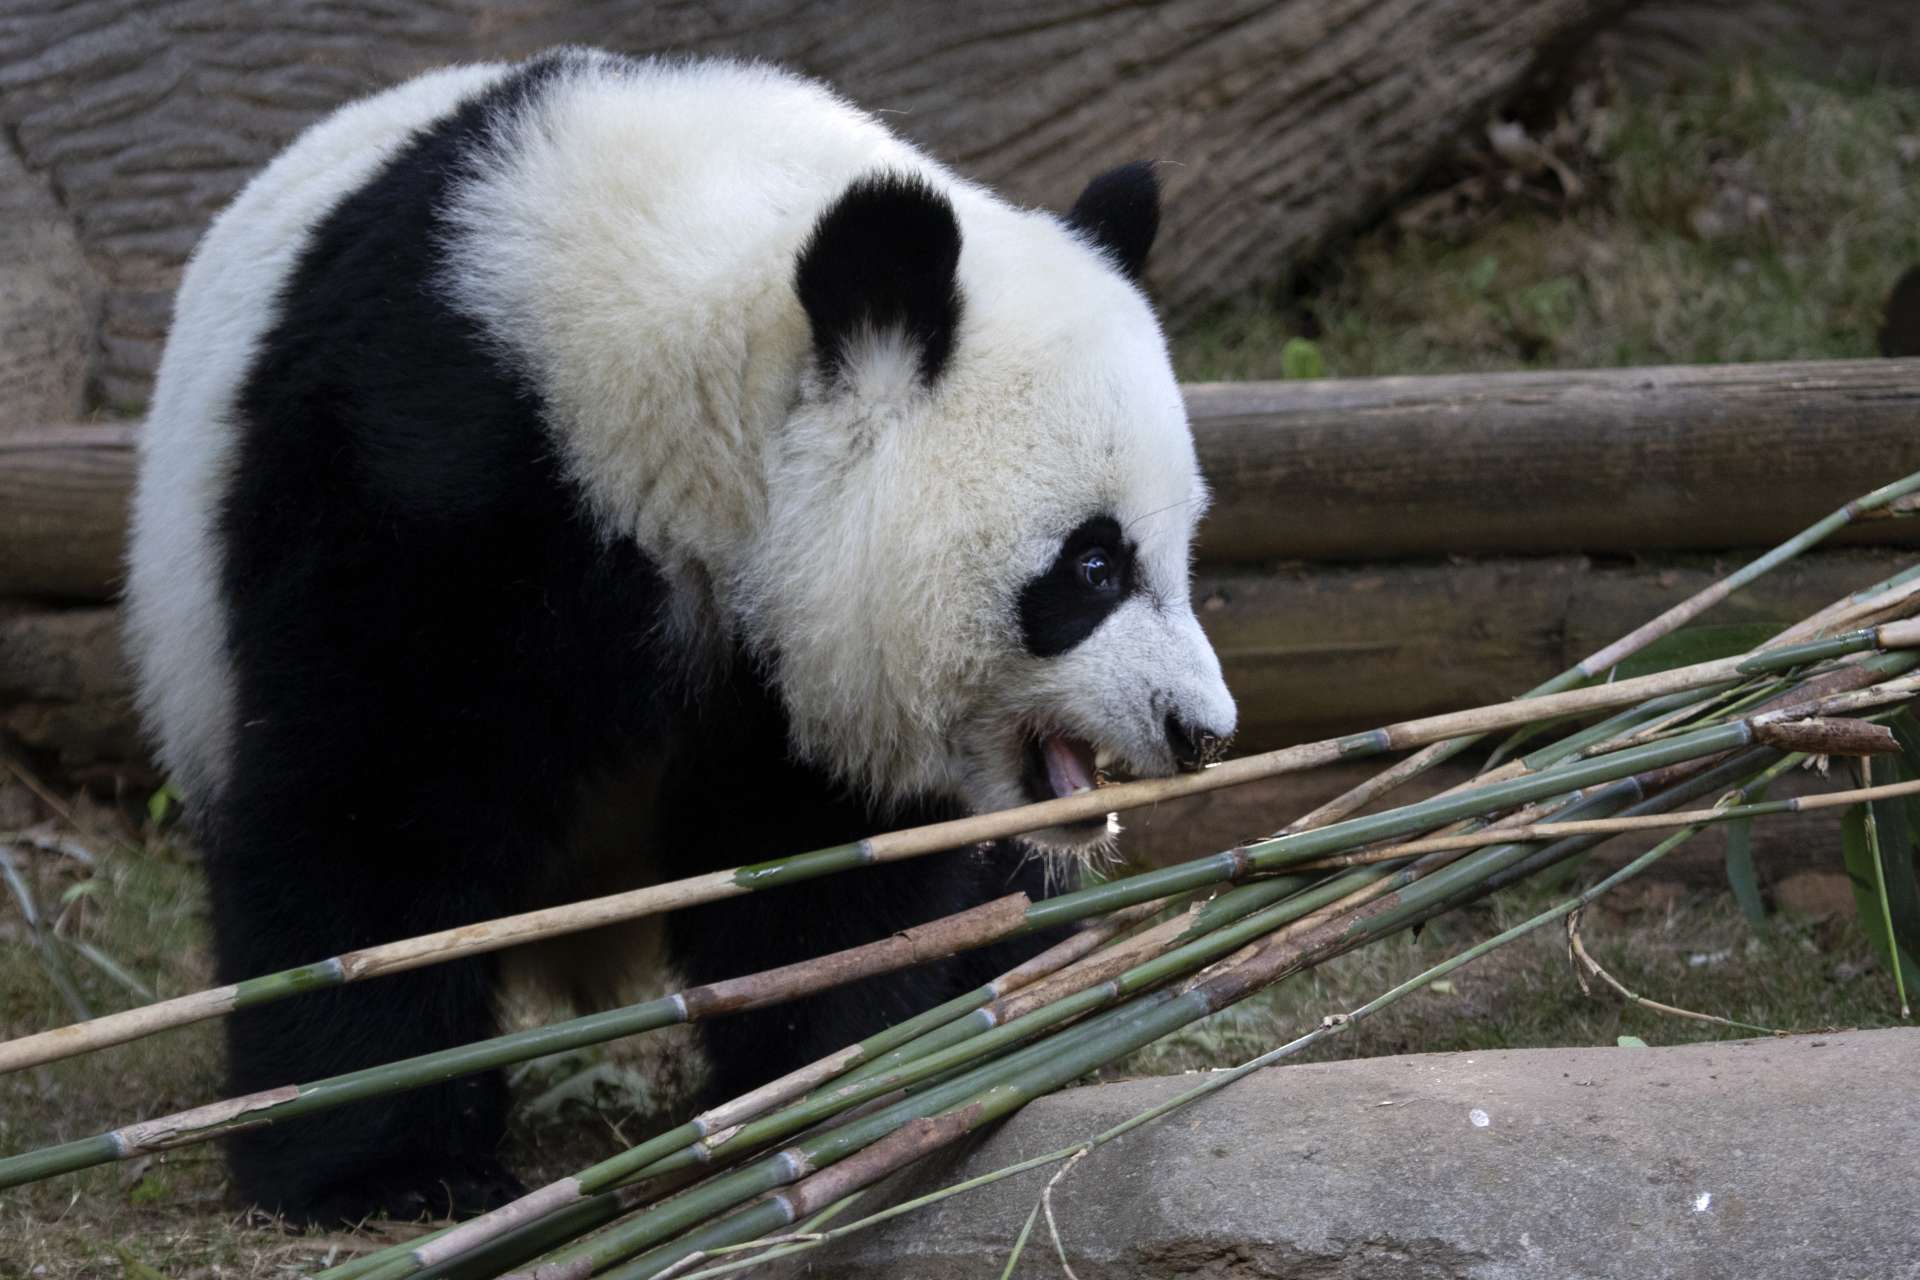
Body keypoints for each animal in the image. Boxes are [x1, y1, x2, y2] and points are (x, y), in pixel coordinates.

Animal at [124, 48, 1236, 1223]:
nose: (1201, 729)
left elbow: (824, 870)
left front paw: (838, 1071)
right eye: (1094, 566)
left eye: (1177, 553)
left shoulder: (790, 666)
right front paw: (390, 1168)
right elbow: (371, 802)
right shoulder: (430, 458)